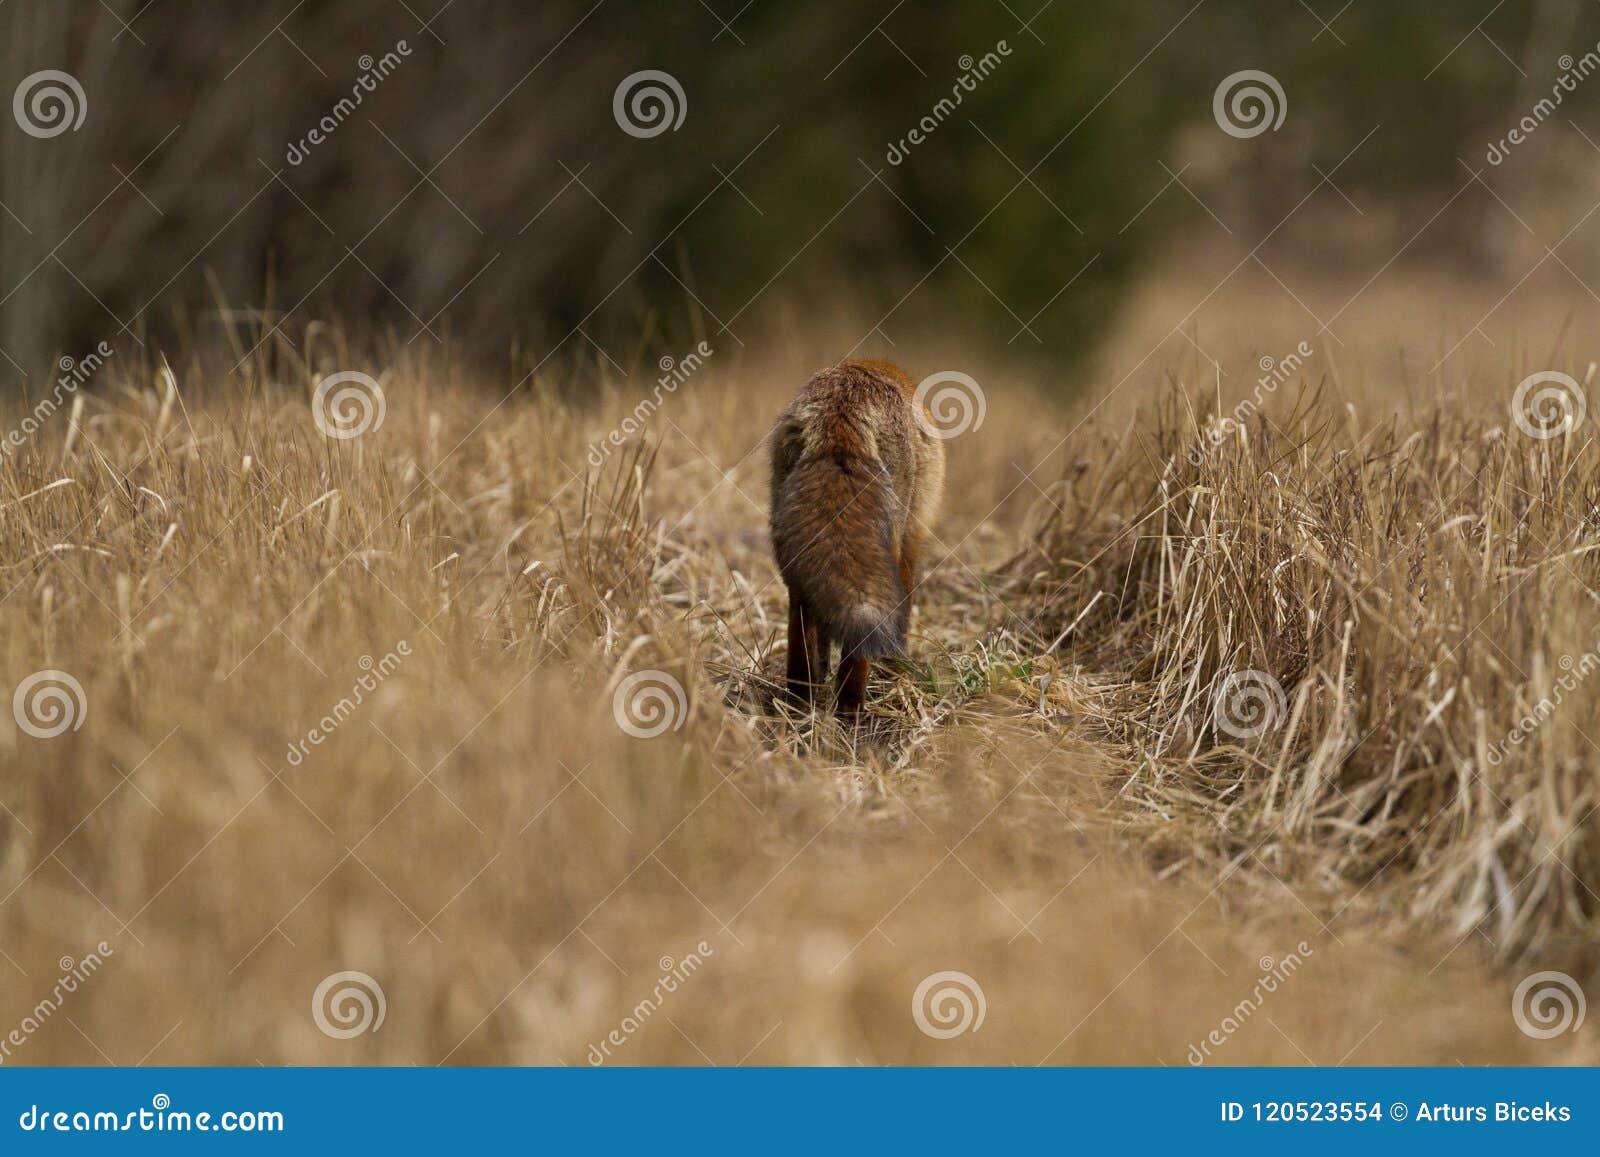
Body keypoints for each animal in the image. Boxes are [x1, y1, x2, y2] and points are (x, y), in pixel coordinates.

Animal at [769, 359, 946, 713]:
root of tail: (844, 403)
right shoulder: (910, 542)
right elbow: (903, 611)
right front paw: (894, 673)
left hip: (792, 553)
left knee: (801, 625)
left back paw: (799, 699)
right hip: (890, 544)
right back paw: (849, 708)